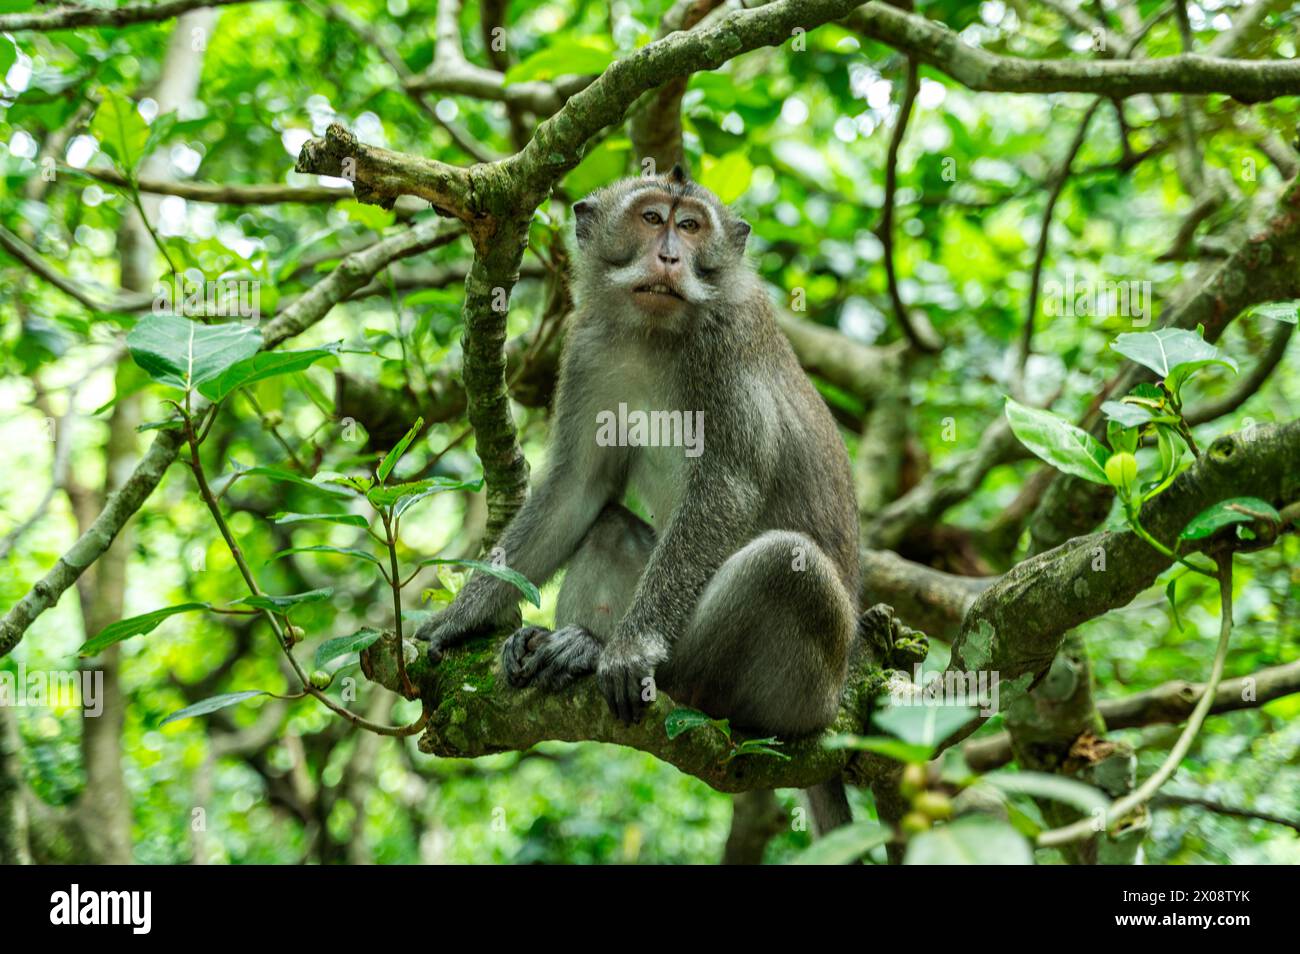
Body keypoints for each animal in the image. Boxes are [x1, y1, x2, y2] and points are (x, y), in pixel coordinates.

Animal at [415, 166, 861, 831]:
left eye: (692, 225)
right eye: (652, 219)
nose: (671, 256)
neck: (654, 333)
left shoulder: (729, 347)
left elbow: (727, 486)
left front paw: (629, 649)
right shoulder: (588, 346)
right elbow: (578, 488)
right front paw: (460, 618)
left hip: (805, 690)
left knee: (784, 562)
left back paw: (622, 659)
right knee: (607, 527)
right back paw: (565, 643)